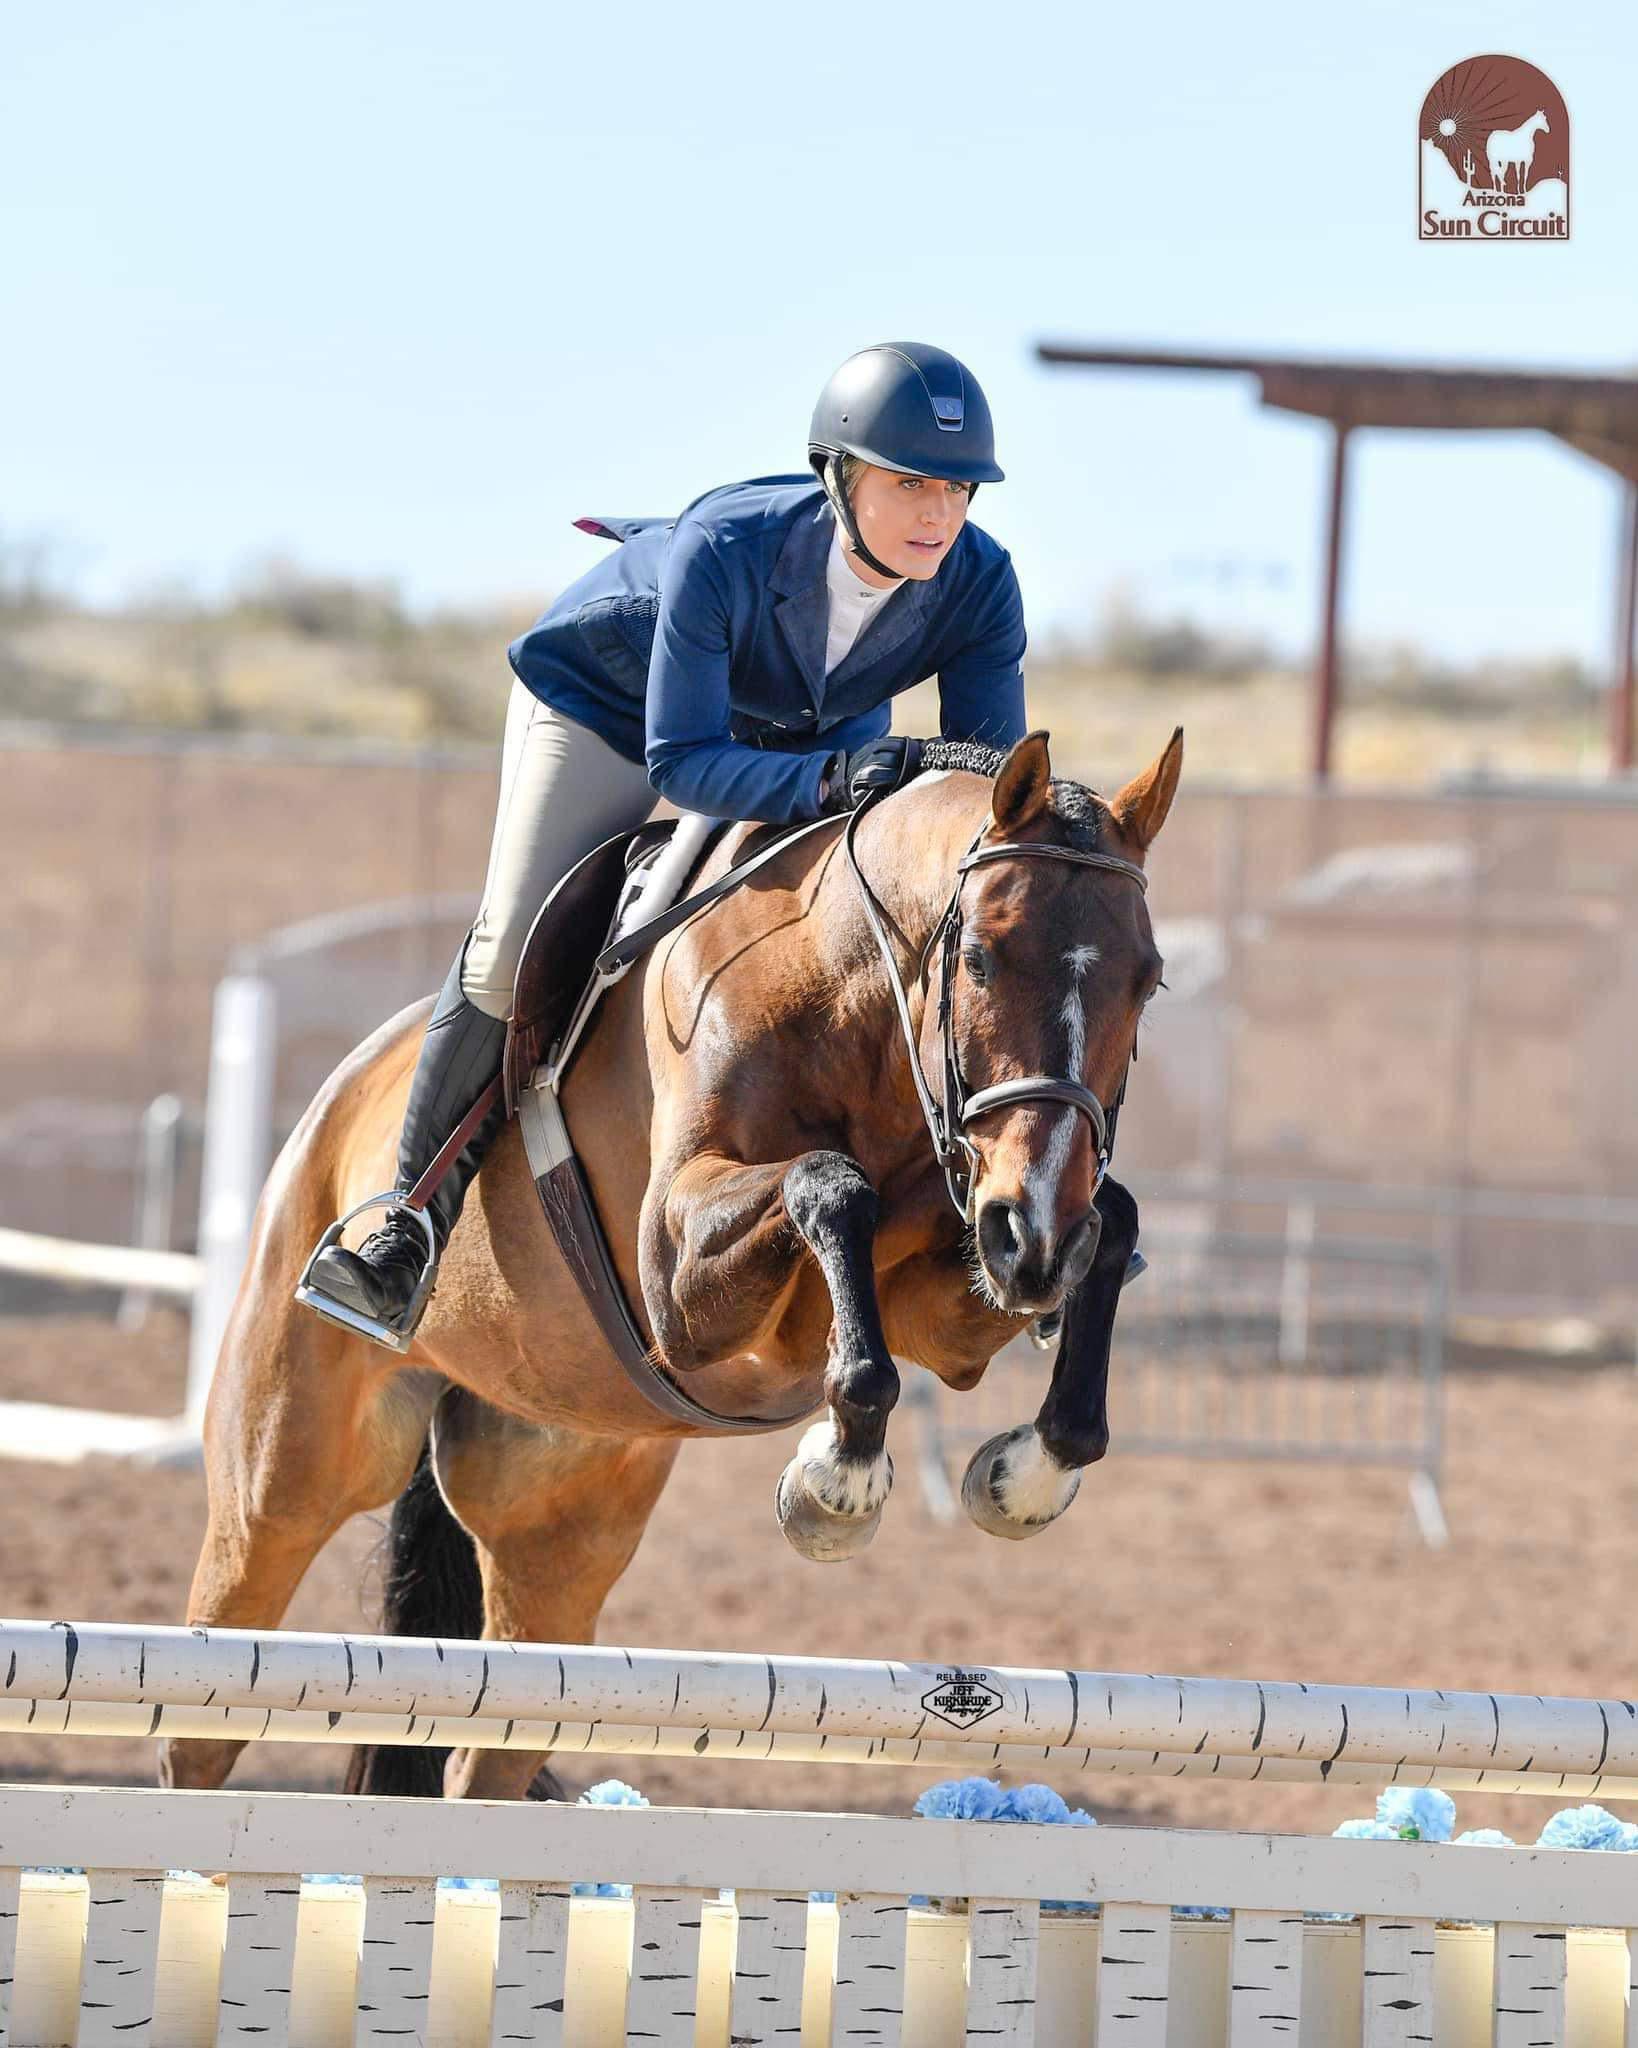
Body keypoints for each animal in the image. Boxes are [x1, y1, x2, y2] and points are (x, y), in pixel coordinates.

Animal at [161, 726, 1181, 1801]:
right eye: (980, 958)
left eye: (1148, 978)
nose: (1036, 1243)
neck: (848, 997)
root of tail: (340, 1095)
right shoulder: (678, 1277)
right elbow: (832, 1183)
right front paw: (836, 1480)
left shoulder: (950, 1288)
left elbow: (1105, 1224)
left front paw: (1024, 1474)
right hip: (285, 1475)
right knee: (206, 1717)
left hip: (560, 1515)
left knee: (488, 1755)